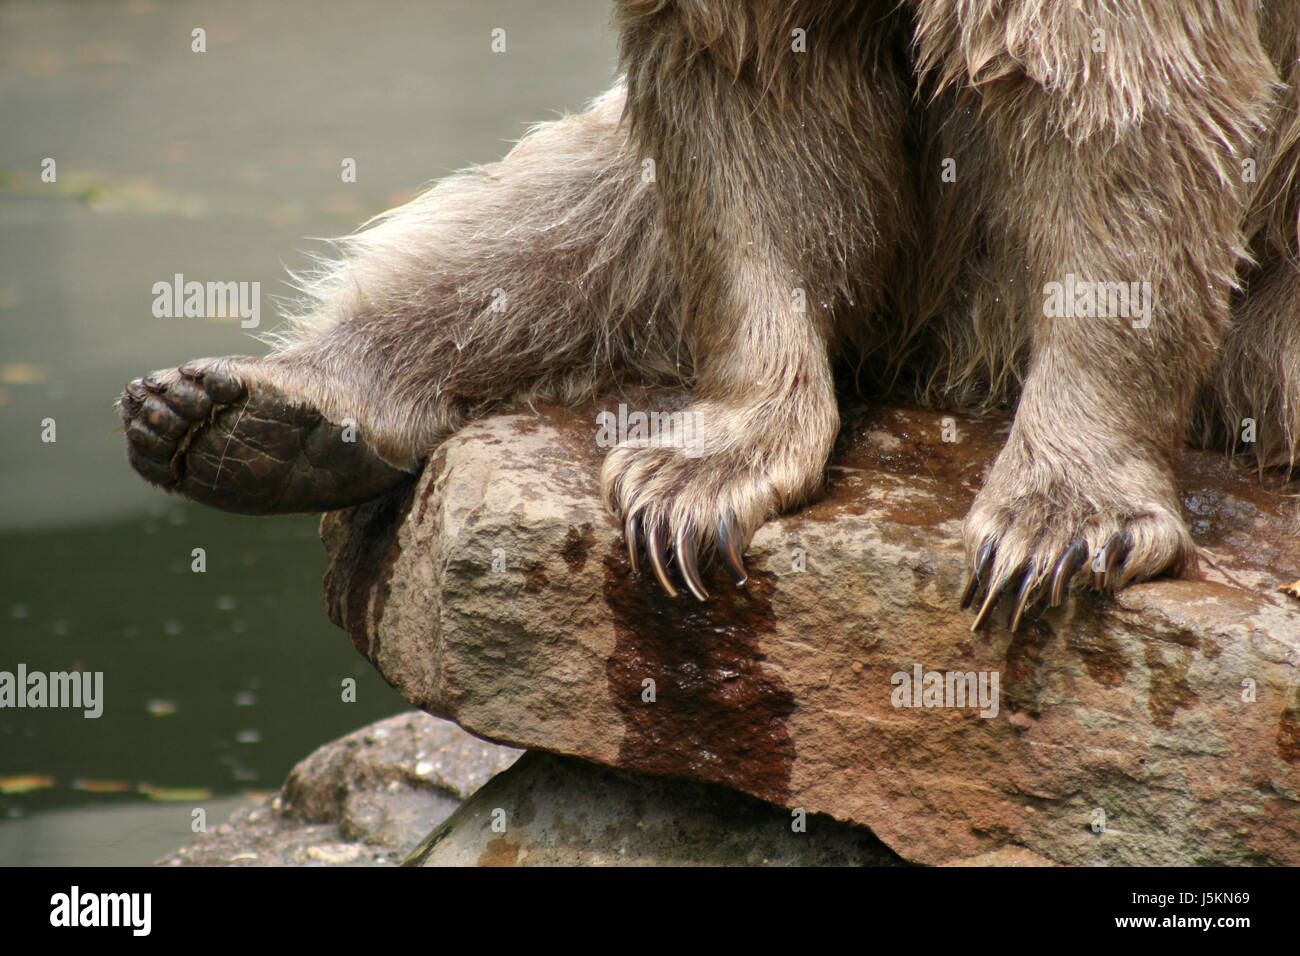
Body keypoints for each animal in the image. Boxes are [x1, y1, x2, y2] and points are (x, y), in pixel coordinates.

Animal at [119, 0, 1300, 631]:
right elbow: (754, 98)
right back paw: (244, 417)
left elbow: (1120, 103)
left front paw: (1056, 525)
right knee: (561, 216)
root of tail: (957, 361)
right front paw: (695, 479)